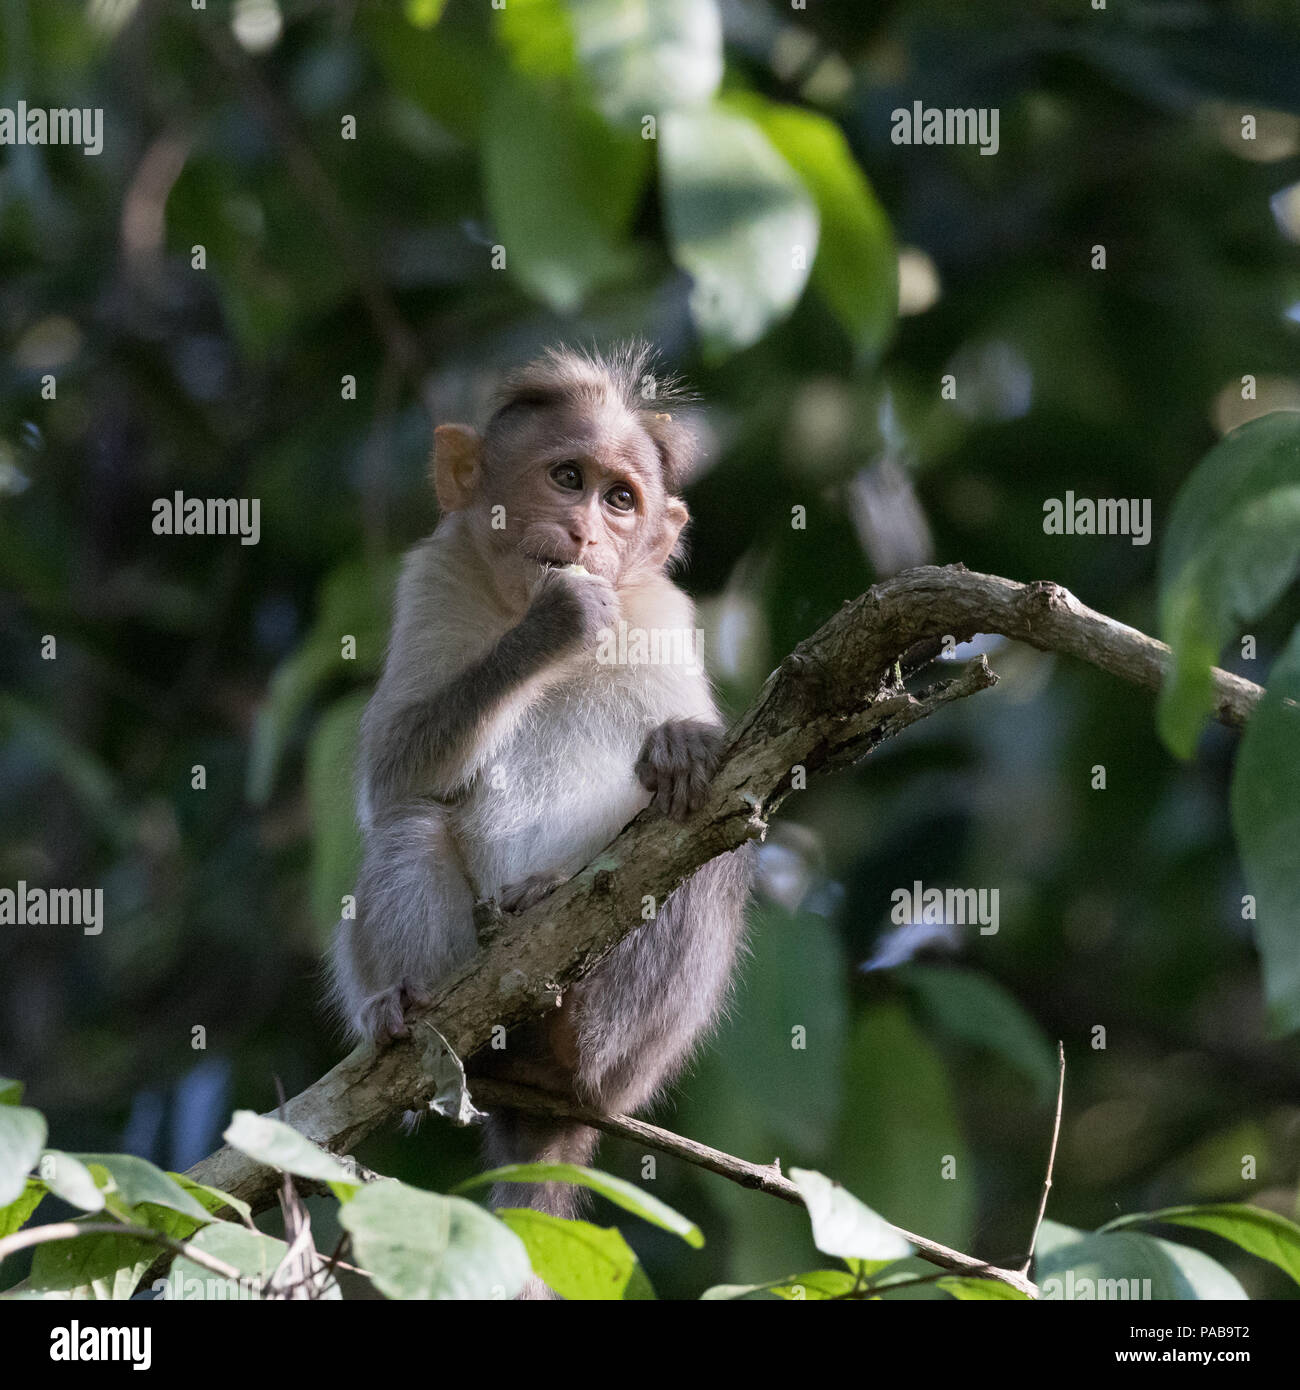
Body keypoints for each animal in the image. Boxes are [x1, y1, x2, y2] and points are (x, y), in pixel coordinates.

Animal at [329, 344, 751, 1282]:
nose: (587, 534)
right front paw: (551, 623)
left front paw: (679, 746)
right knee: (414, 823)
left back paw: (570, 1004)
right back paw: (410, 1014)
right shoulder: (433, 577)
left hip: (635, 1062)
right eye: (568, 478)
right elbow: (395, 770)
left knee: (713, 857)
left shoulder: (667, 616)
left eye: (621, 498)